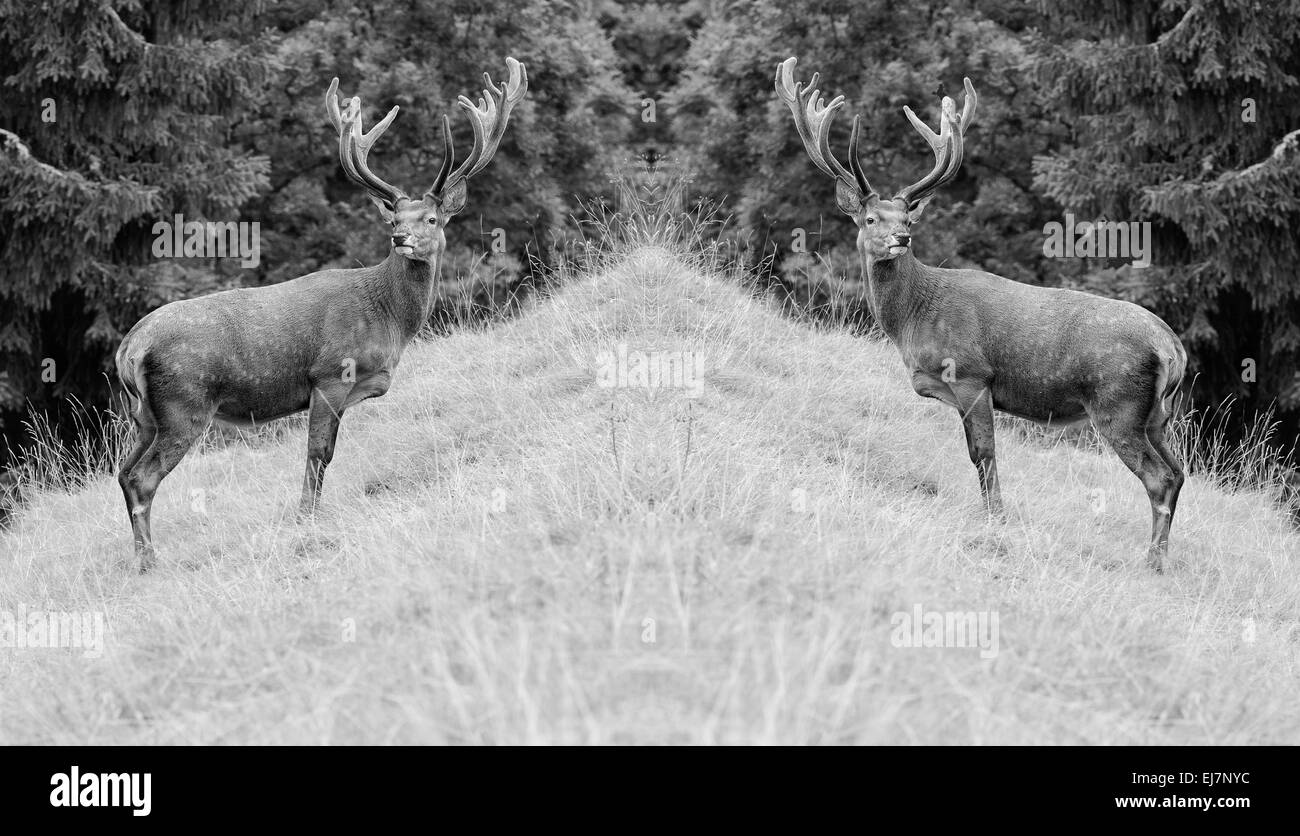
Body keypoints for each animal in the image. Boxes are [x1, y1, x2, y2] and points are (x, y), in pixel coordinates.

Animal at [114, 58, 527, 572]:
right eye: (395, 220)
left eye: (430, 219)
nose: (400, 238)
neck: (388, 318)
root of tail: (129, 348)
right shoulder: (330, 374)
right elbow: (318, 453)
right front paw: (306, 519)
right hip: (184, 404)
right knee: (143, 477)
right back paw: (149, 561)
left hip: (144, 415)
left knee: (123, 472)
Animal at [776, 58, 1187, 571]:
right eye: (872, 219)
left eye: (906, 219)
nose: (902, 238)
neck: (913, 318)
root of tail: (1172, 348)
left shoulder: (973, 374)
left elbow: (983, 453)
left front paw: (996, 518)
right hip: (1158, 415)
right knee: (1179, 471)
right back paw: (1166, 557)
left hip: (1118, 404)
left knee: (1159, 477)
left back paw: (1153, 561)